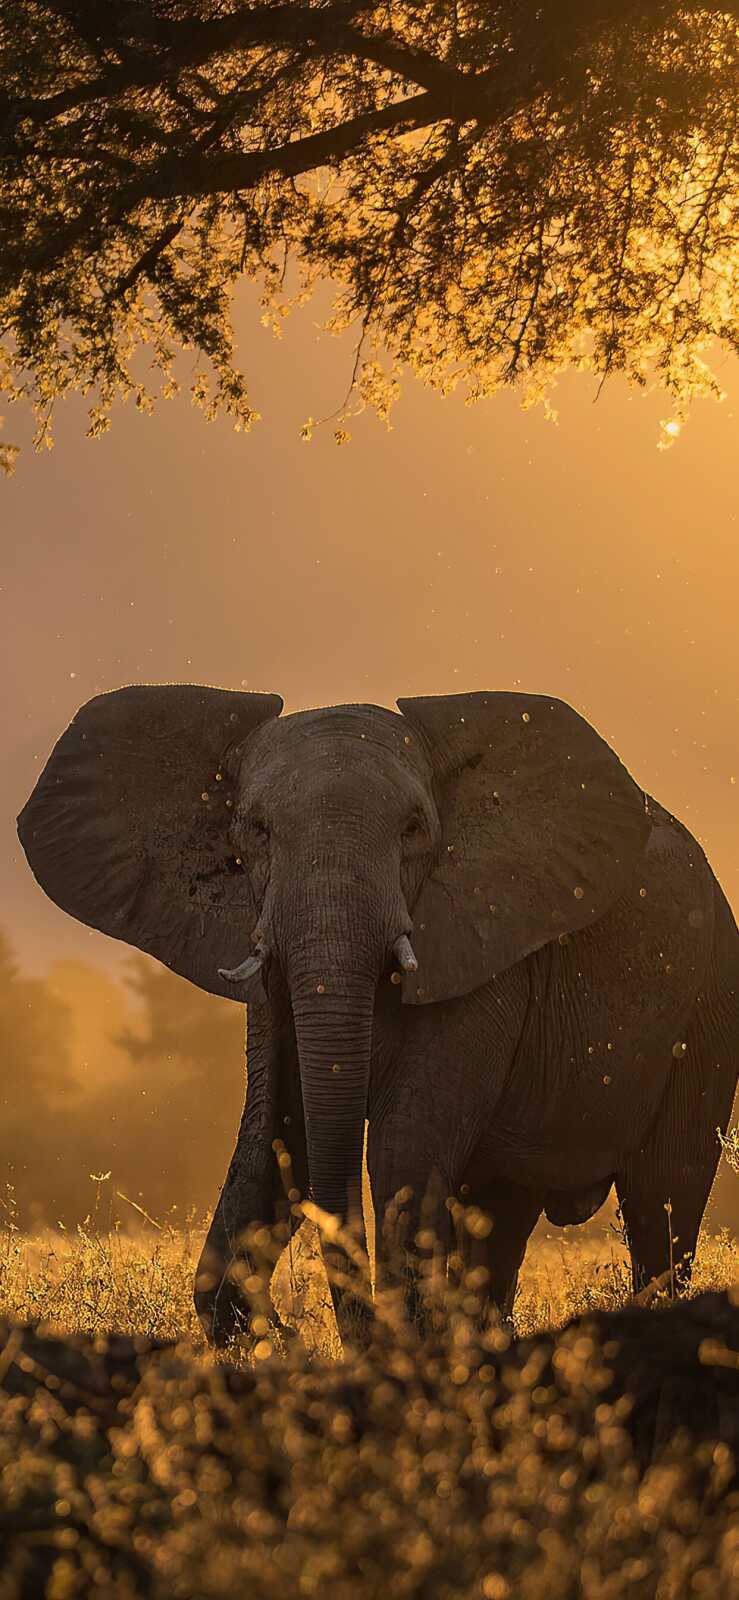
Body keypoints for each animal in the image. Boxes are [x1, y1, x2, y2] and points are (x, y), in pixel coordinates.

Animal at [17, 685, 739, 1345]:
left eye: (414, 830)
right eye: (256, 831)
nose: (284, 1327)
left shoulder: (480, 947)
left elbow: (405, 1140)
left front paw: (397, 1341)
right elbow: (278, 1125)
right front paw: (248, 1331)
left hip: (709, 1003)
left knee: (662, 1199)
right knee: (502, 1207)